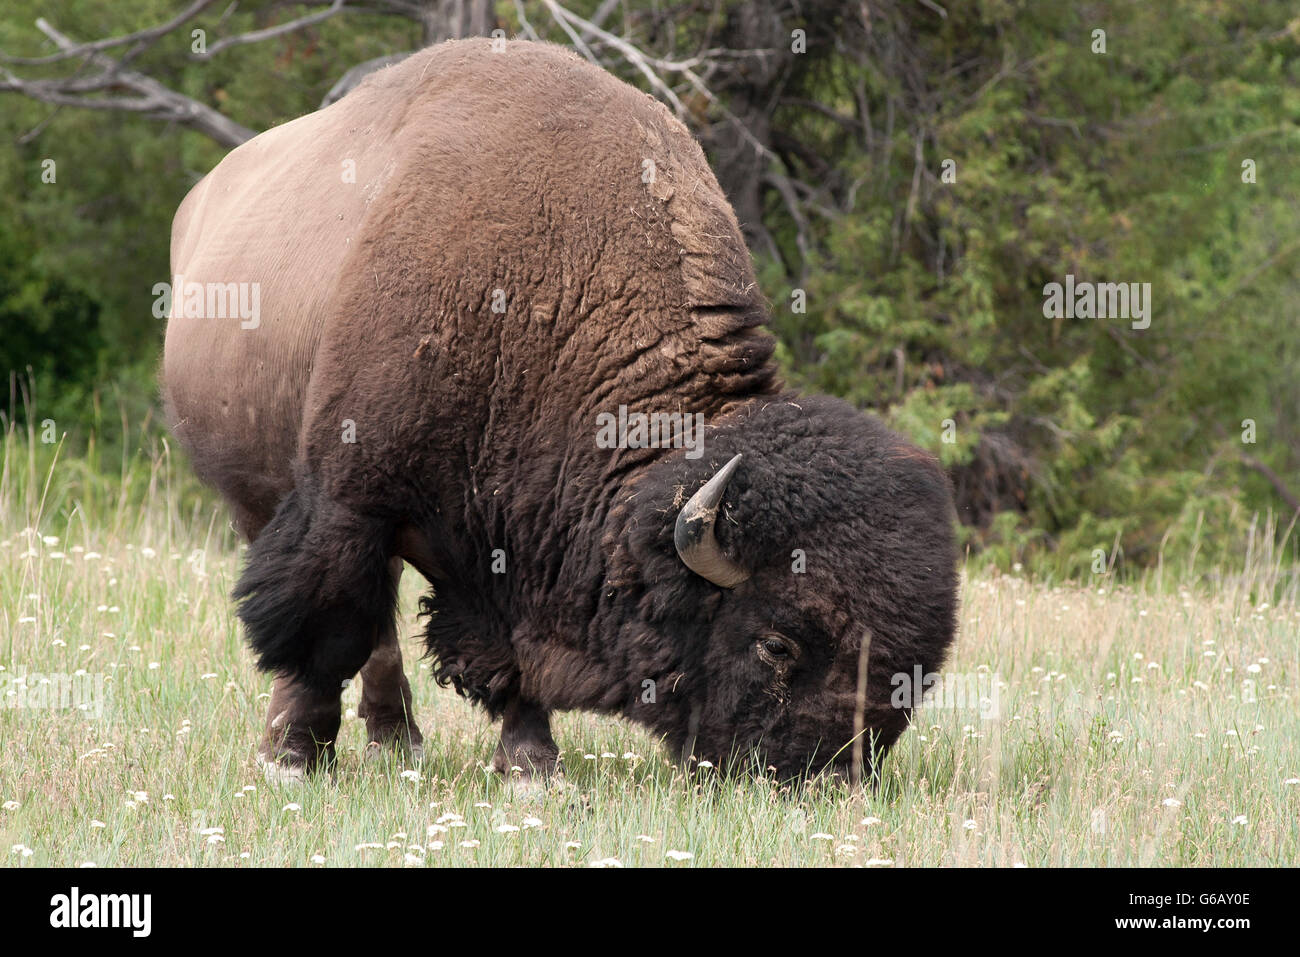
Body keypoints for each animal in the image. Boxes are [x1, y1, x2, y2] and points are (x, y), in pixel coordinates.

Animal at [162, 39, 958, 783]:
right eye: (776, 643)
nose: (825, 778)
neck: (551, 297)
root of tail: (200, 199)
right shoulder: (346, 499)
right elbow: (323, 630)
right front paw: (294, 757)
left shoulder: (517, 543)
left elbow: (515, 659)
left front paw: (530, 766)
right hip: (259, 496)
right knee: (356, 622)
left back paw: (398, 743)